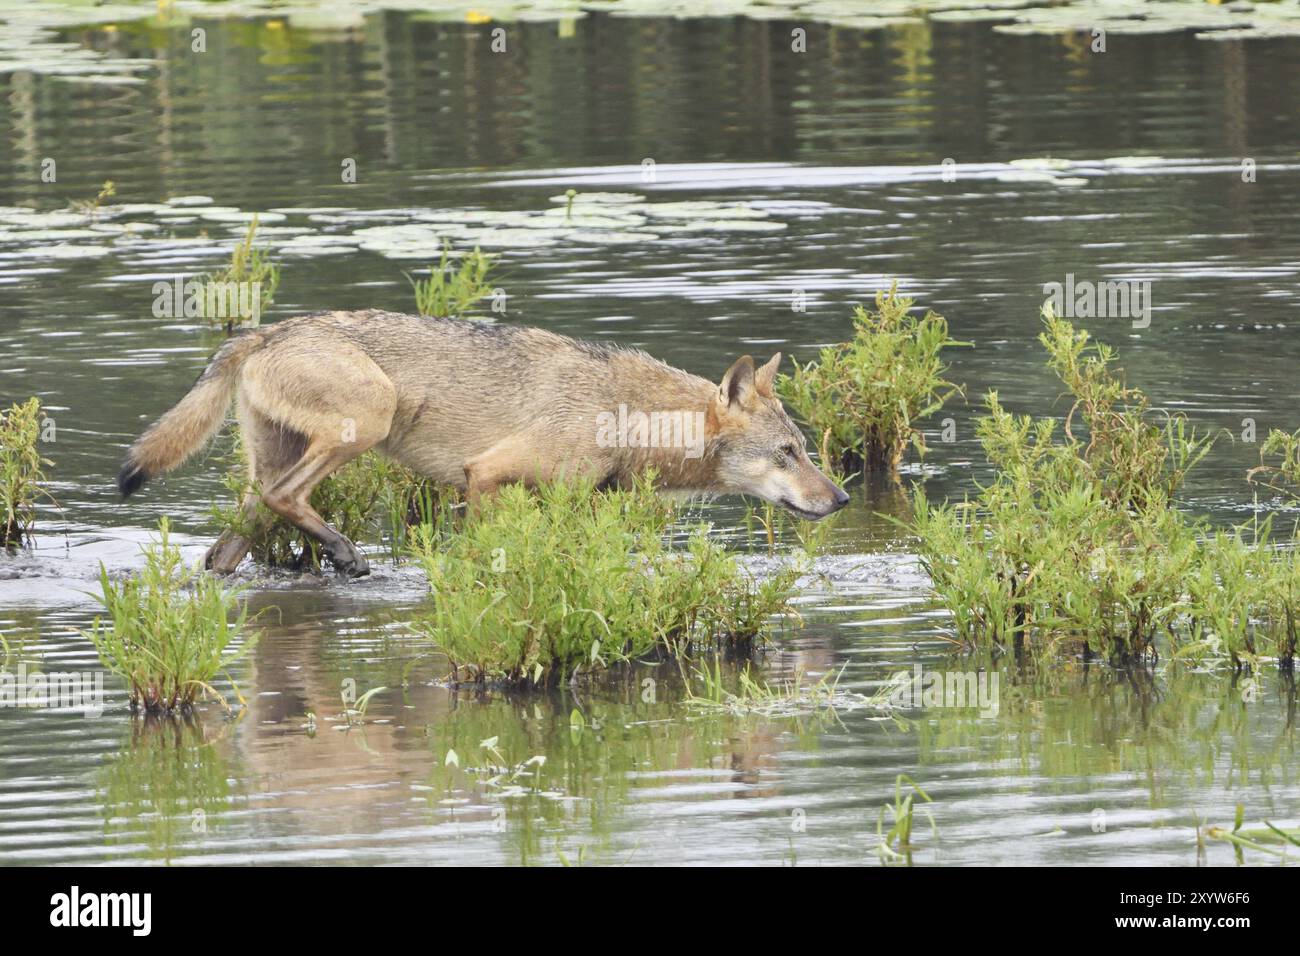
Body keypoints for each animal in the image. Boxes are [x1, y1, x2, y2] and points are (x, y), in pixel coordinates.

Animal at [118, 310, 849, 576]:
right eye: (789, 454)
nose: (841, 499)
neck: (626, 412)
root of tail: (266, 332)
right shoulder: (484, 476)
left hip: (266, 476)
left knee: (223, 551)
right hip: (369, 419)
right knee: (285, 499)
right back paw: (348, 555)